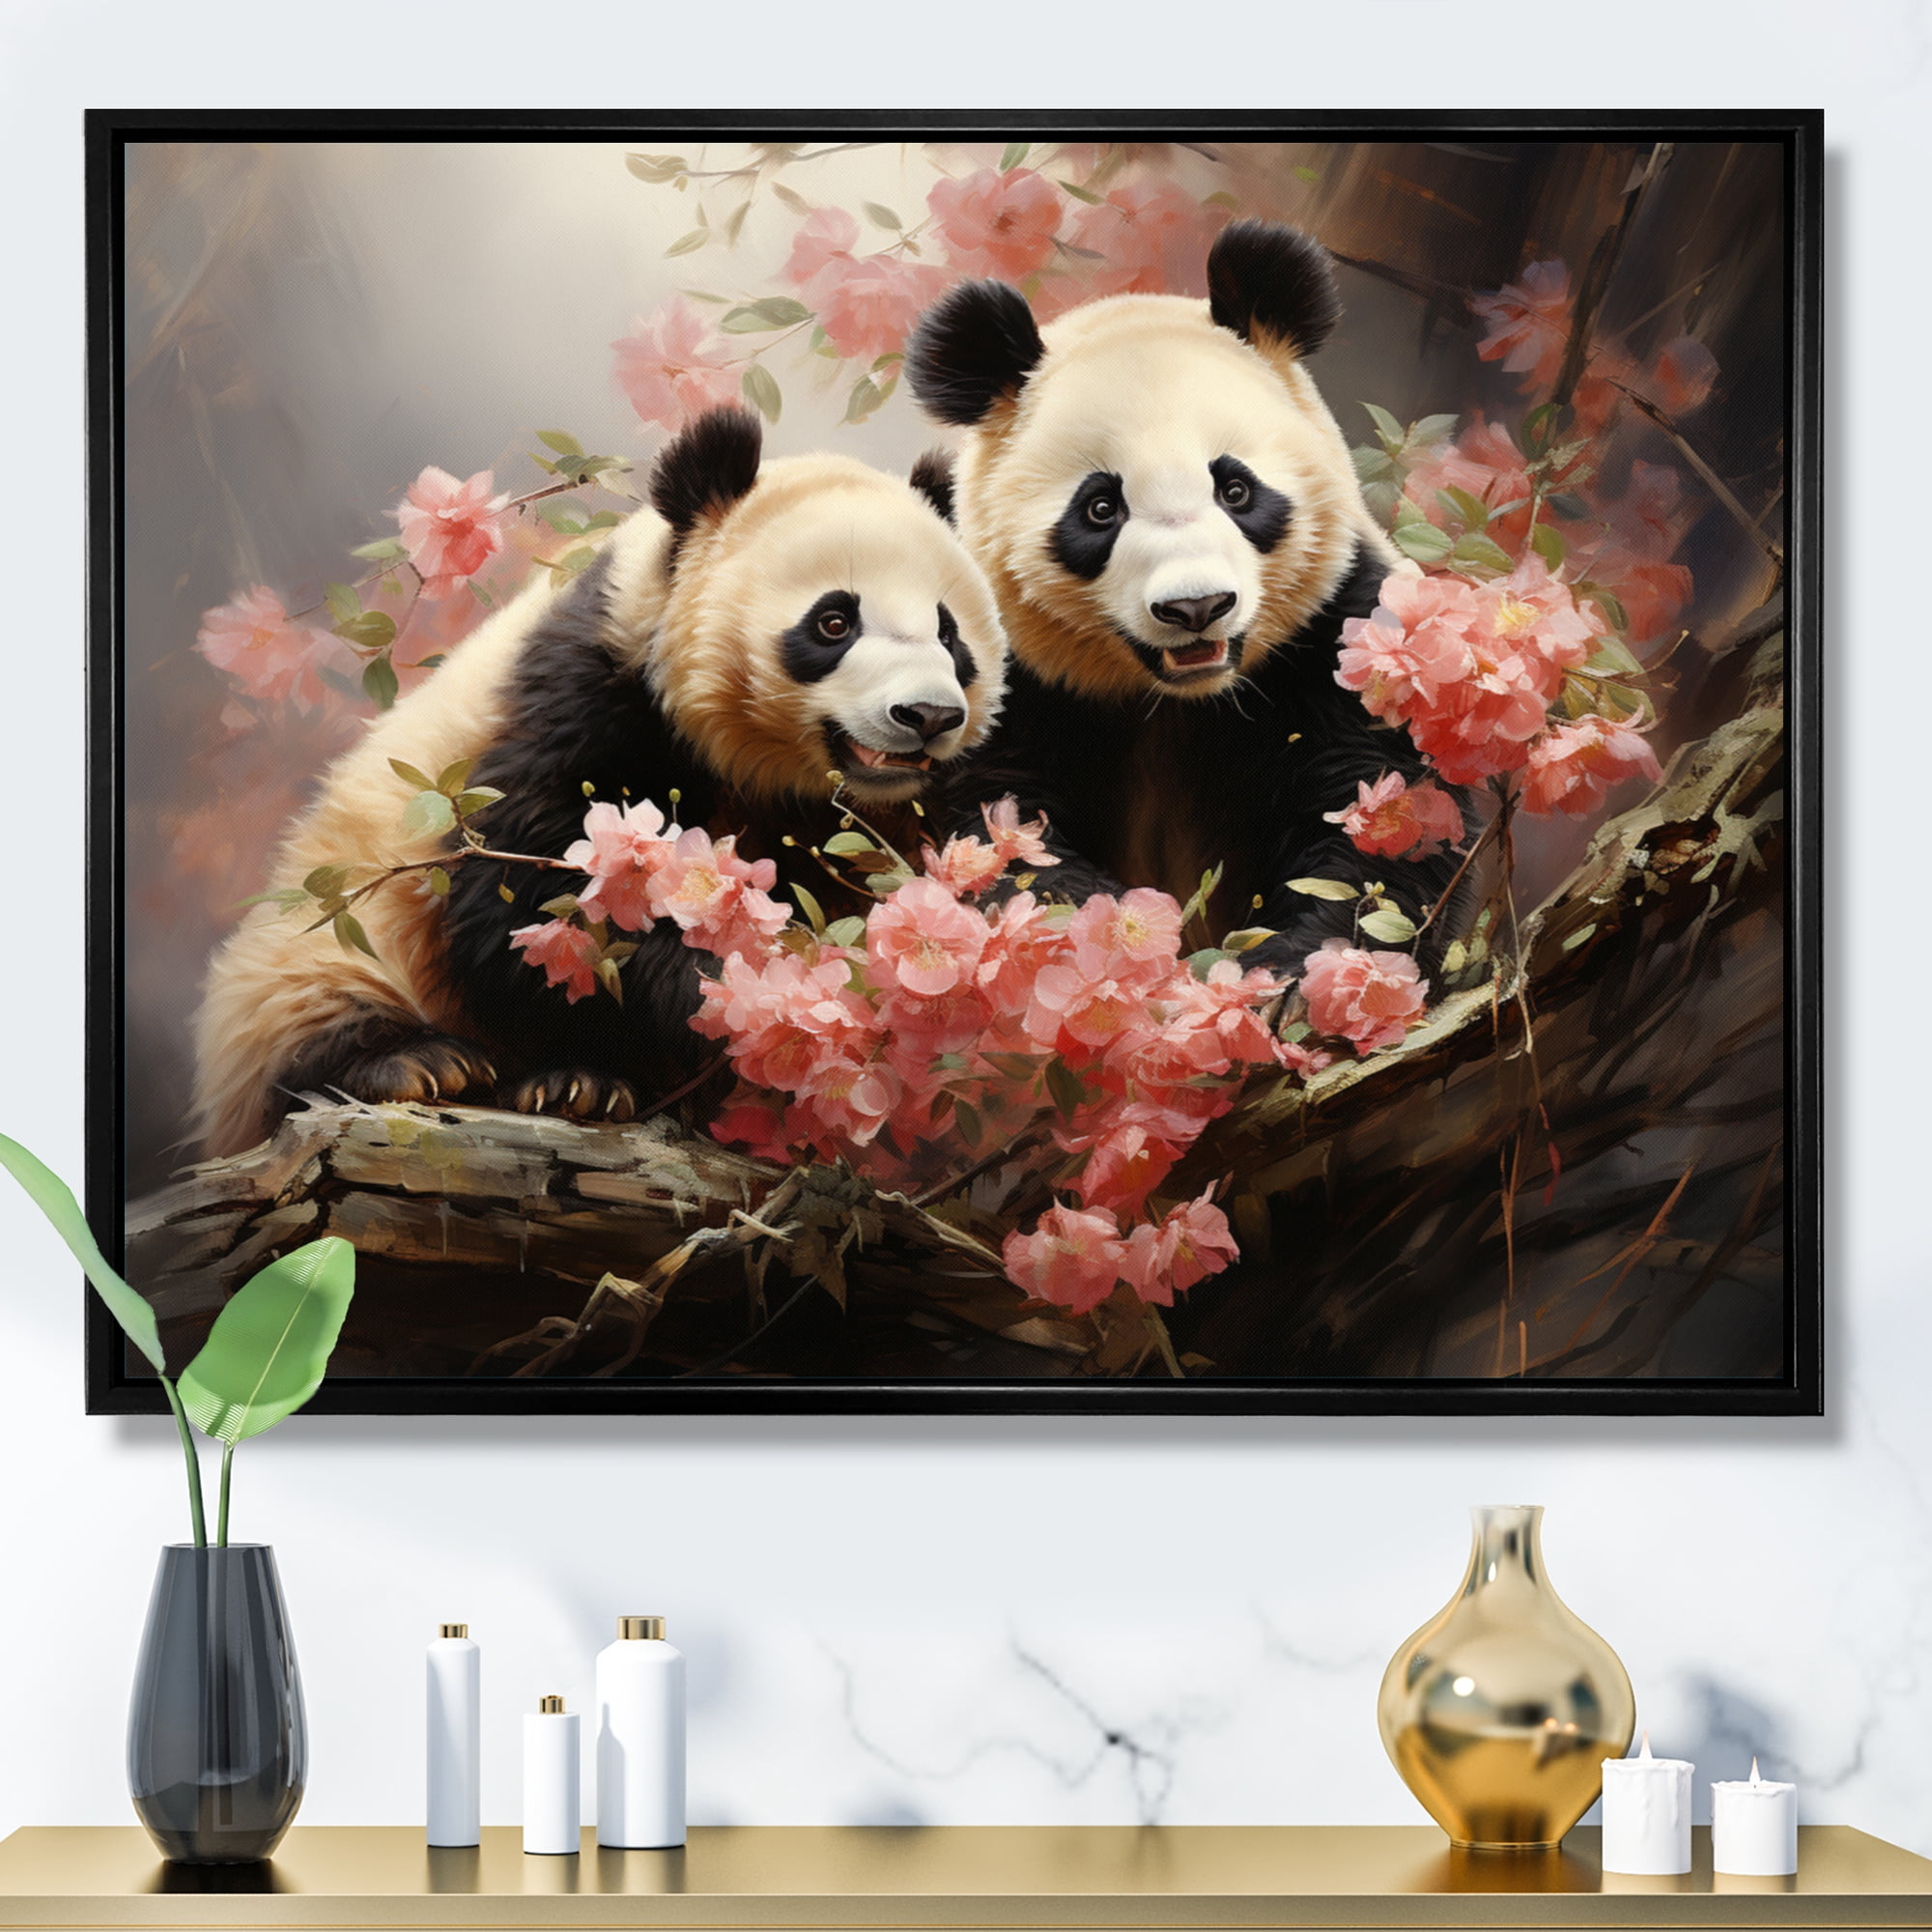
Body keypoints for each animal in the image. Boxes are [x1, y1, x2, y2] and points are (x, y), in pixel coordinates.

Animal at [191, 408, 1007, 1158]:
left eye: (948, 632)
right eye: (835, 622)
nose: (927, 715)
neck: (764, 765)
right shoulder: (587, 695)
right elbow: (526, 902)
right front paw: (733, 979)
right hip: (332, 920)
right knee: (295, 1011)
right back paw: (438, 1066)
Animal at [902, 218, 1468, 981]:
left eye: (1235, 489)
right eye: (1101, 508)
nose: (1196, 607)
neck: (1180, 701)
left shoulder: (1341, 636)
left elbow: (1385, 818)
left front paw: (1291, 976)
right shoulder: (996, 676)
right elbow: (1006, 832)